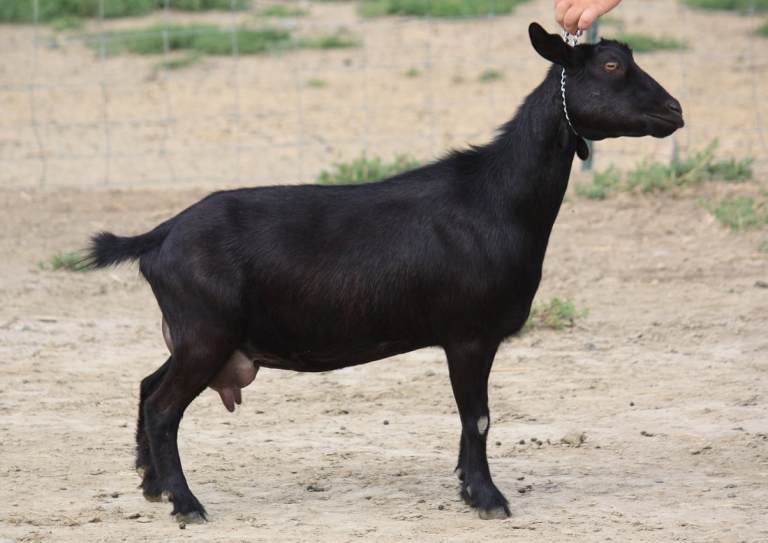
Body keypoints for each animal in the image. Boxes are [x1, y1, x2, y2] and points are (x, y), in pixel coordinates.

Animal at [87, 22, 683, 524]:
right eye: (611, 66)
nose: (675, 110)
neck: (496, 198)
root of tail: (160, 236)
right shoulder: (469, 333)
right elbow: (478, 416)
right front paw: (488, 498)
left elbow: (471, 418)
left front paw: (467, 488)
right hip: (206, 334)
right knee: (163, 407)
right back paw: (187, 504)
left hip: (195, 337)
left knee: (147, 386)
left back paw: (152, 485)